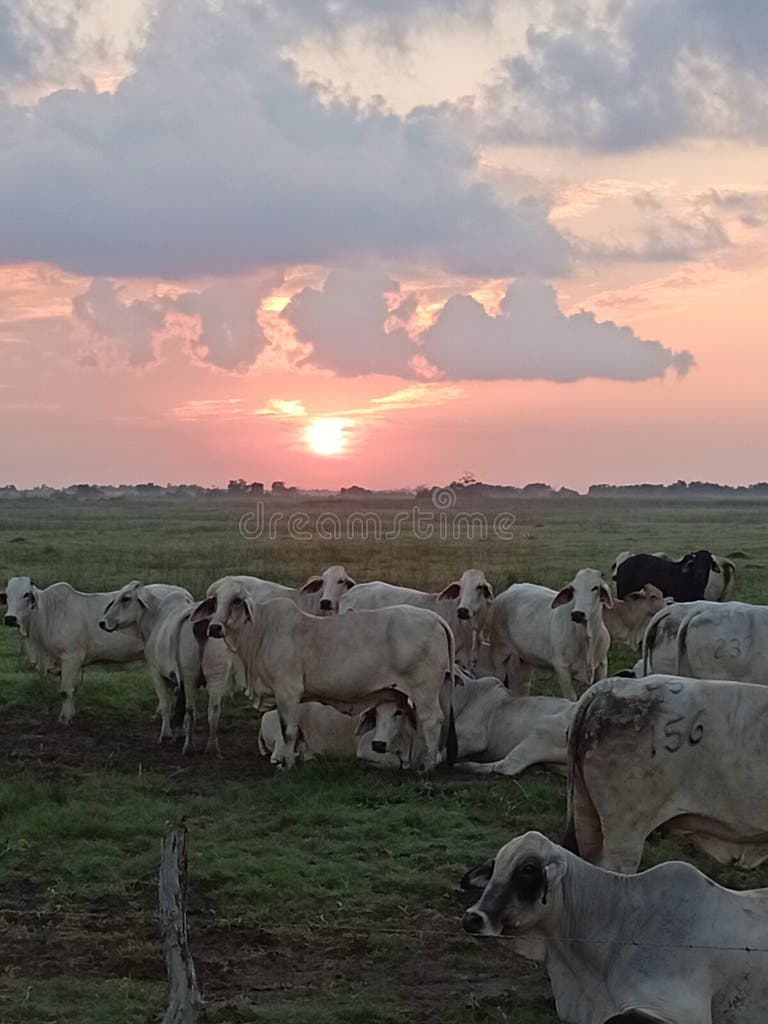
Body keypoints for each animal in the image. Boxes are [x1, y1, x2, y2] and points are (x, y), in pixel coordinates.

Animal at [1, 575, 144, 722]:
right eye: (7, 595)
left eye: (26, 594)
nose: (10, 618)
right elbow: (70, 690)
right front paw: (71, 713)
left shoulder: (71, 658)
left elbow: (65, 691)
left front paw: (65, 719)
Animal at [99, 580, 233, 754]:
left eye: (126, 598)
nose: (103, 622)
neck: (156, 615)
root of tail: (204, 622)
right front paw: (179, 731)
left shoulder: (157, 672)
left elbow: (165, 704)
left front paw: (166, 735)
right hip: (217, 675)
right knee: (214, 709)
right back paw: (212, 748)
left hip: (190, 676)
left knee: (190, 710)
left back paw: (189, 747)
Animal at [191, 584, 456, 770]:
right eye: (214, 601)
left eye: (236, 601)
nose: (214, 627)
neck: (262, 630)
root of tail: (434, 618)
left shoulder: (287, 691)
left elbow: (288, 730)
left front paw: (287, 764)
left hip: (424, 690)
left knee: (431, 721)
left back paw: (427, 766)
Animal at [487, 568, 612, 699]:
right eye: (574, 588)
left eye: (595, 587)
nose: (577, 614)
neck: (586, 635)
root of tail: (509, 589)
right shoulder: (562, 667)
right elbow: (571, 698)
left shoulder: (602, 665)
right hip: (499, 652)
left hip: (525, 659)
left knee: (524, 686)